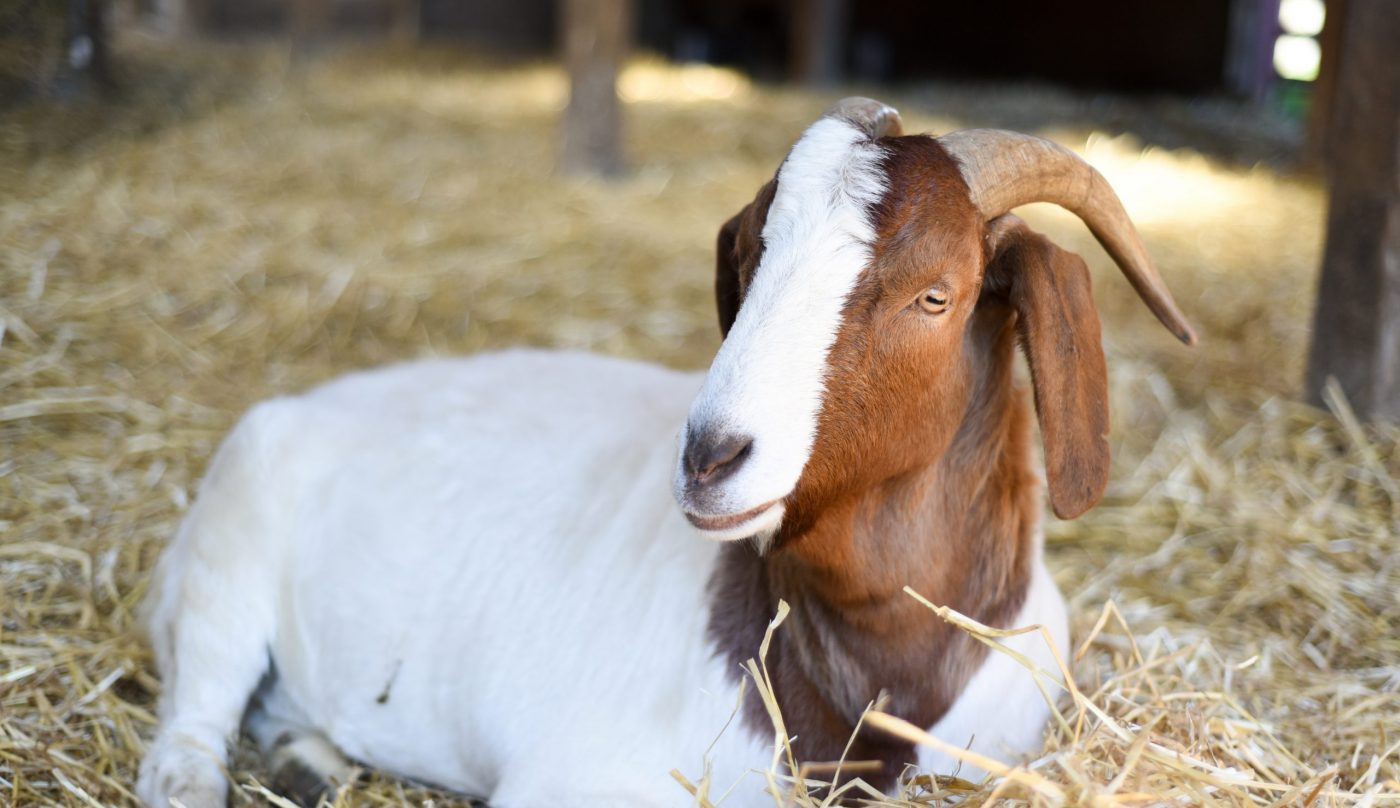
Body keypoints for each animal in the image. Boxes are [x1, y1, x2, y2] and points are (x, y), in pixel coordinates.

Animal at [137, 98, 1194, 808]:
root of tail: (304, 406)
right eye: (750, 256)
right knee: (192, 720)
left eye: (935, 294)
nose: (711, 456)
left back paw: (305, 761)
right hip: (228, 557)